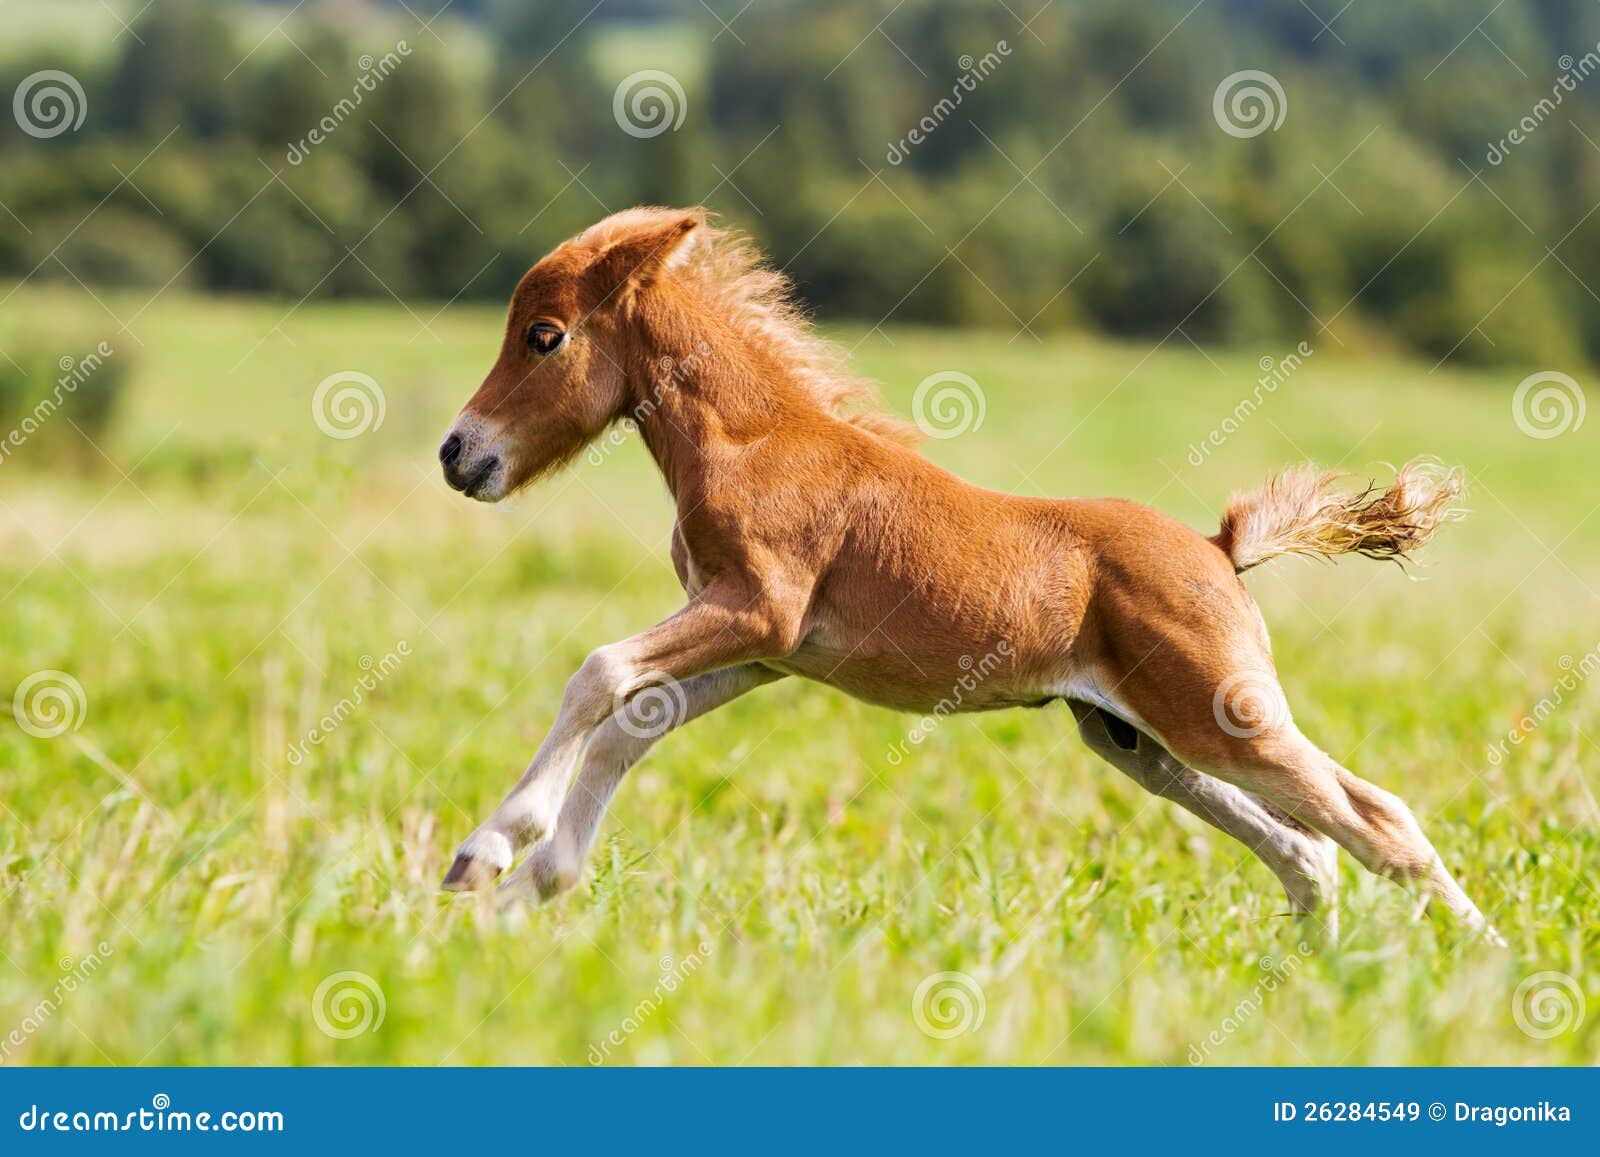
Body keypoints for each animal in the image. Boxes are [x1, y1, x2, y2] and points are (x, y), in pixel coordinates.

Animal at [435, 205, 1499, 942]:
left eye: (545, 335)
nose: (458, 454)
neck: (756, 440)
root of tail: (1217, 548)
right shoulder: (768, 649)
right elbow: (631, 722)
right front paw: (524, 883)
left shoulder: (757, 611)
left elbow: (601, 672)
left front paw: (493, 846)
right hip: (1134, 737)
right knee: (1308, 848)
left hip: (1222, 711)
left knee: (1377, 817)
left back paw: (1488, 965)